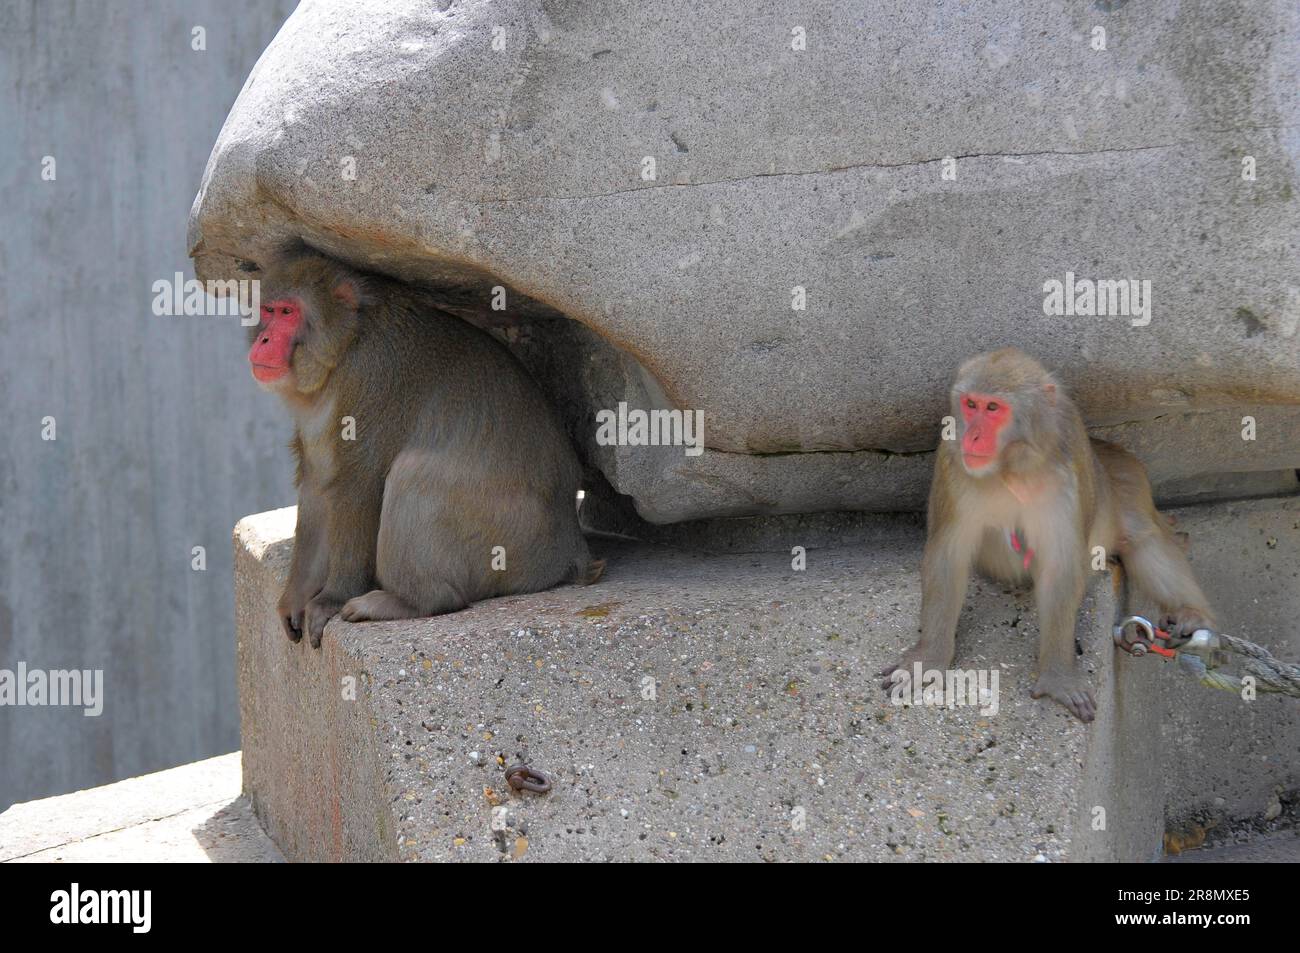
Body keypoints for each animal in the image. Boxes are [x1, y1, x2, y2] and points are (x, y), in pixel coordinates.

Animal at [246, 250, 603, 648]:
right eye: (269, 311)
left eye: (288, 313)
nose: (263, 339)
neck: (343, 351)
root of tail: (571, 547)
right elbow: (317, 484)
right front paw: (296, 596)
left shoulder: (373, 380)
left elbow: (357, 484)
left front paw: (331, 598)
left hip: (516, 541)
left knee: (412, 473)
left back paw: (415, 601)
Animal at [881, 348, 1213, 722]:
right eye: (970, 404)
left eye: (993, 408)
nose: (972, 437)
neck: (1012, 465)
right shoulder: (952, 463)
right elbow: (948, 555)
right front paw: (929, 659)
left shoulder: (1068, 469)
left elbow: (1060, 567)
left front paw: (1057, 677)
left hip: (1129, 479)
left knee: (1145, 539)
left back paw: (1191, 611)